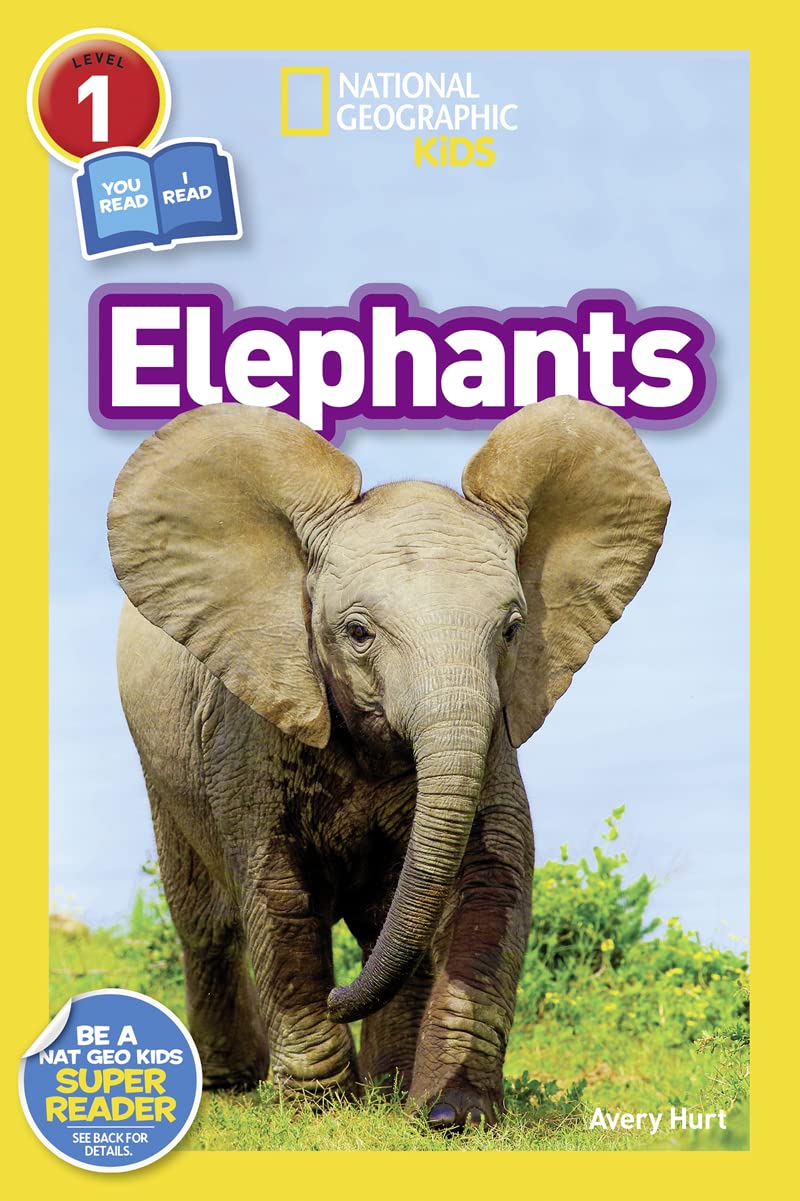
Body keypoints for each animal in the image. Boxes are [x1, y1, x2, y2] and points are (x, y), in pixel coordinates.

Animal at [108, 394, 669, 1131]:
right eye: (358, 632)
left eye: (513, 629)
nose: (342, 994)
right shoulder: (249, 716)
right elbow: (277, 887)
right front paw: (316, 1109)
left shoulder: (490, 728)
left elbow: (492, 873)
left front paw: (451, 1114)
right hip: (160, 759)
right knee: (205, 916)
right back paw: (233, 1081)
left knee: (384, 920)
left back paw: (386, 1083)